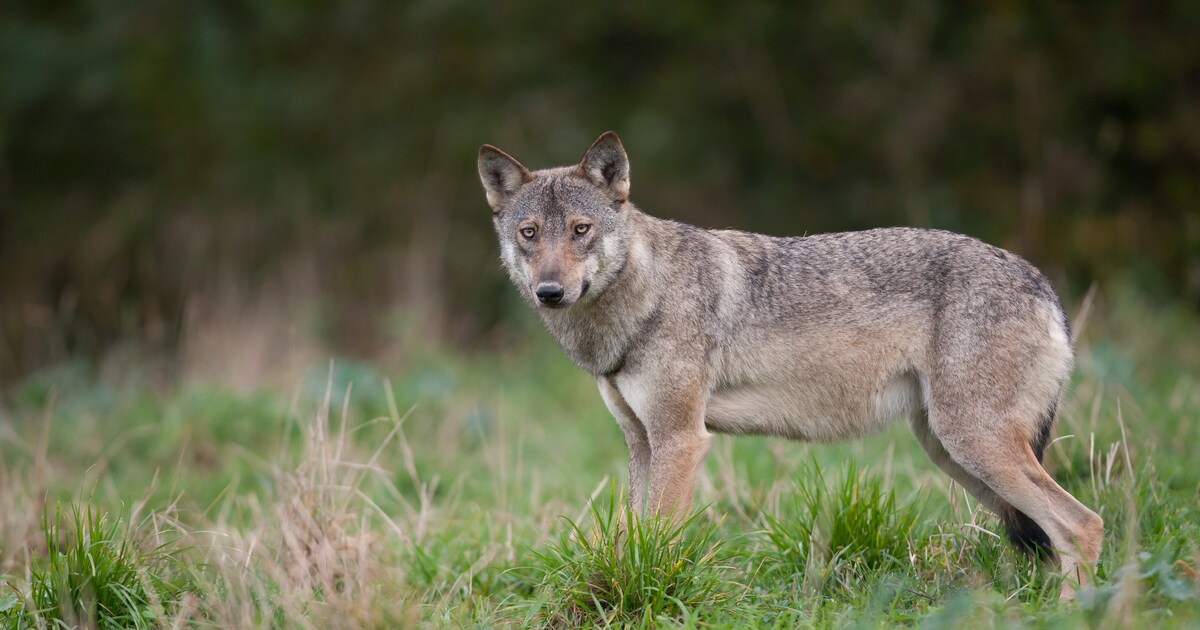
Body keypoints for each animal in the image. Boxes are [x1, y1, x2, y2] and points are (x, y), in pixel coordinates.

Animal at [477, 132, 1102, 596]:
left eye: (581, 231)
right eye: (529, 234)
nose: (550, 292)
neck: (641, 298)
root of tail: (1041, 281)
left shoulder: (682, 439)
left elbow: (659, 538)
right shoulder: (641, 441)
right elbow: (633, 535)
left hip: (974, 444)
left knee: (1082, 524)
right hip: (951, 453)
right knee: (1056, 535)